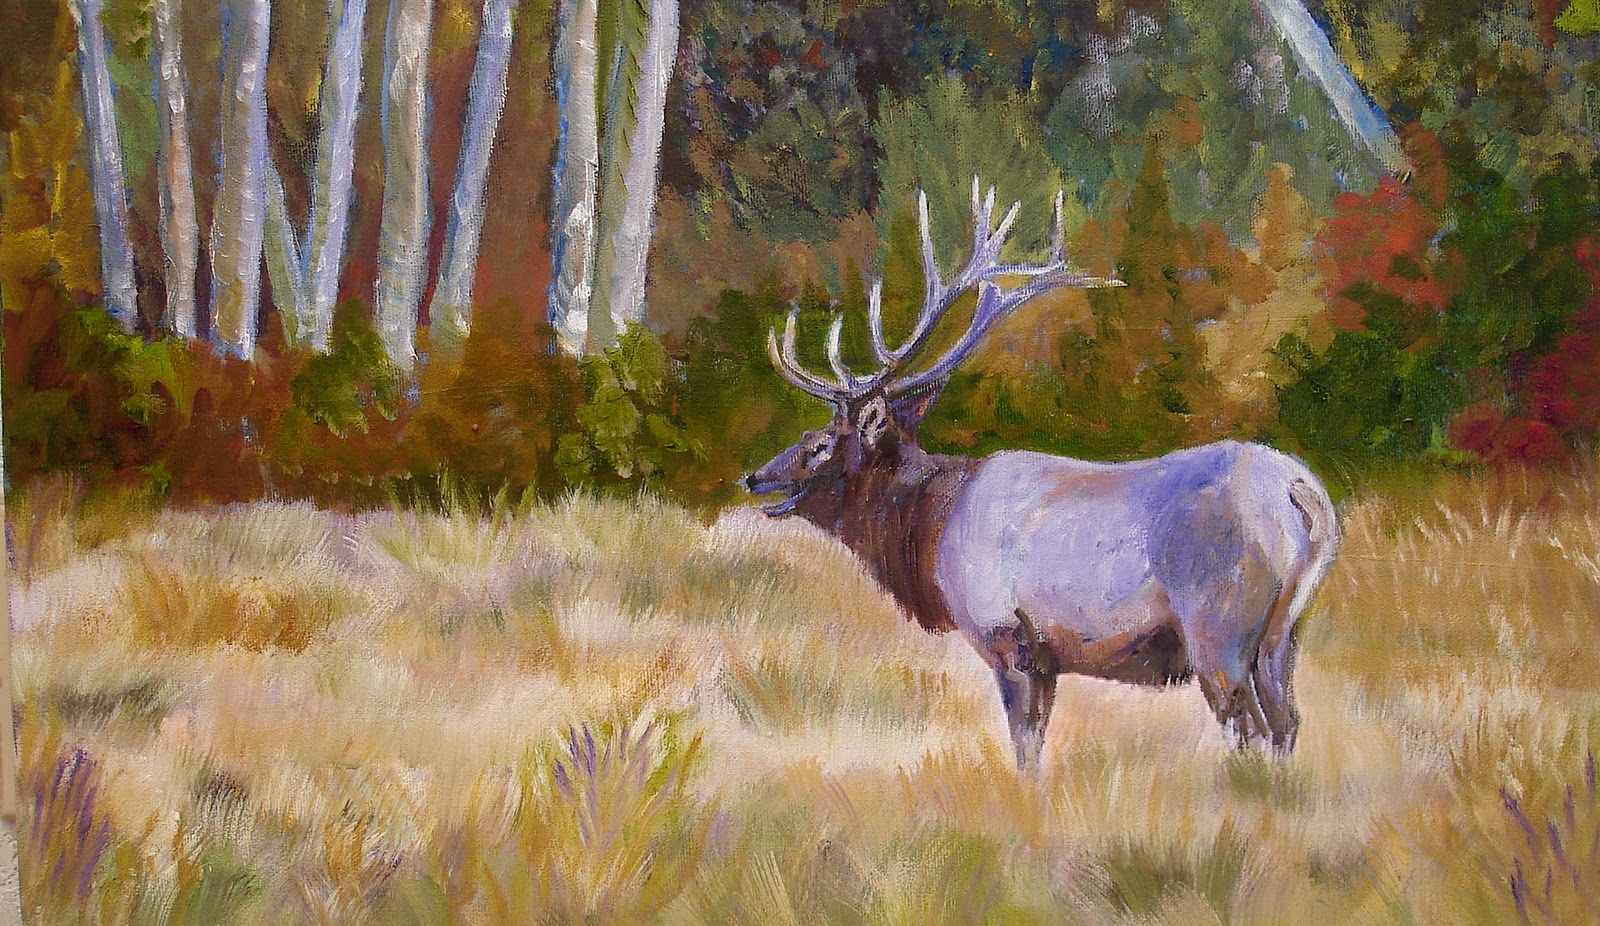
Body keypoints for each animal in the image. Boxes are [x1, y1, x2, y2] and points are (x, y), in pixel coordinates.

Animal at [743, 179, 1340, 769]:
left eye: (819, 444)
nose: (754, 477)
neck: (930, 533)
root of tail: (1300, 490)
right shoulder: (1047, 657)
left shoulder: (1007, 637)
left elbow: (1025, 747)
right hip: (1283, 635)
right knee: (1287, 724)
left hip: (1219, 628)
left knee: (1251, 728)